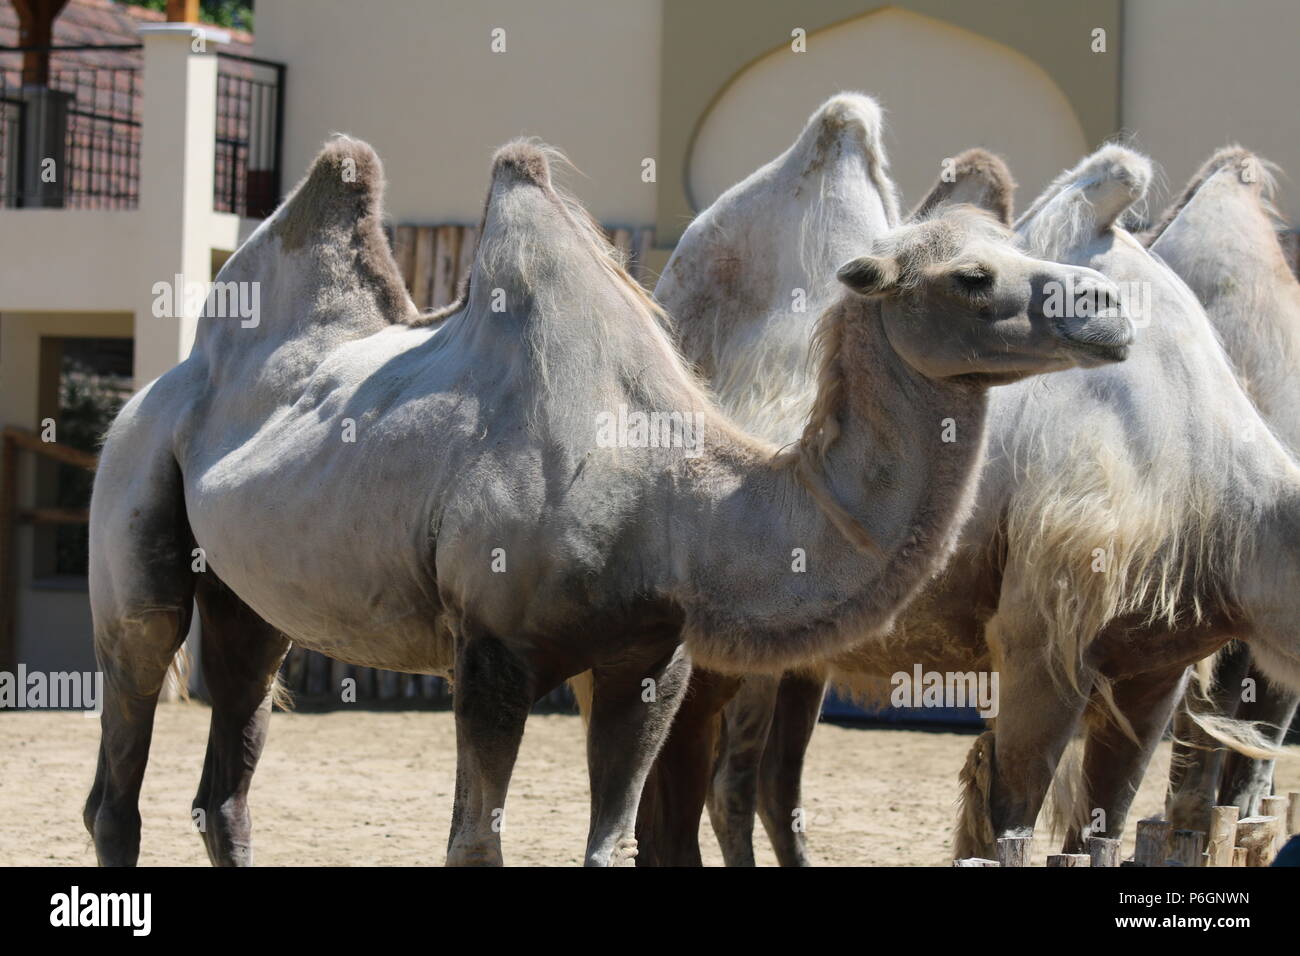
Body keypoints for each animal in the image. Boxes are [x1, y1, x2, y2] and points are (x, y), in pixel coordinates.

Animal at [82, 131, 1130, 867]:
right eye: (973, 275)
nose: (1110, 308)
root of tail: (154, 392)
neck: (675, 503)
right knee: (120, 757)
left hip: (251, 602)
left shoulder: (649, 656)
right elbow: (475, 841)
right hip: (133, 510)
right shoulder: (490, 650)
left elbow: (613, 841)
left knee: (226, 781)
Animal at [650, 136, 1300, 865]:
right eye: (972, 278)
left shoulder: (1160, 665)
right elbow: (1007, 818)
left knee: (765, 782)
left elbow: (1103, 824)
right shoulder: (1044, 642)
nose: (1104, 312)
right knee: (715, 778)